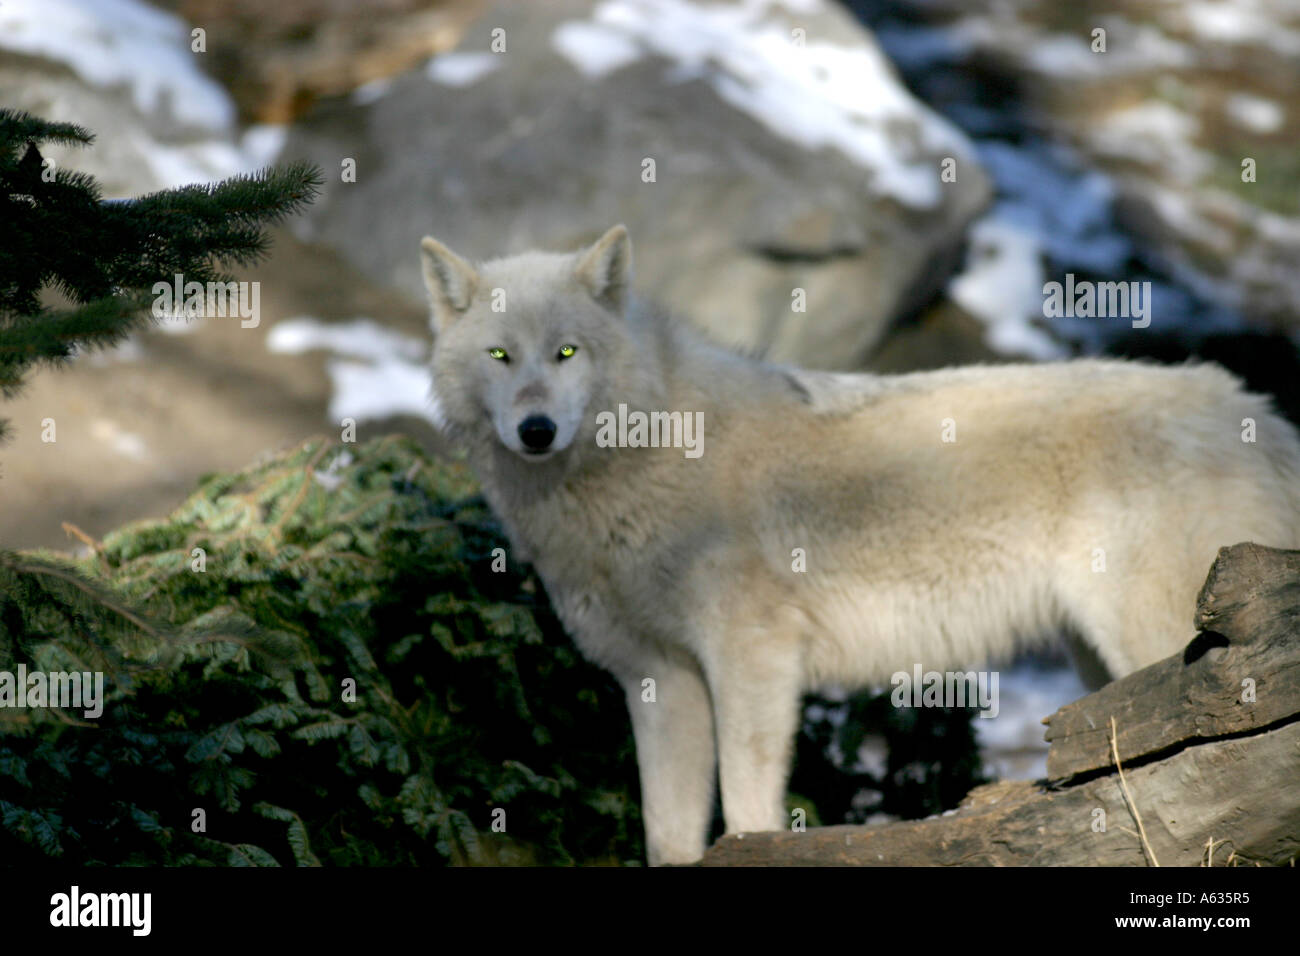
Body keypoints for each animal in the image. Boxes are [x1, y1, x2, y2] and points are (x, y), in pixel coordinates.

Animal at [420, 224, 1300, 865]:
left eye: (567, 352)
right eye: (501, 356)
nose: (537, 430)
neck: (639, 459)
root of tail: (1255, 413)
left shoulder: (754, 657)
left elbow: (747, 808)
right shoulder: (660, 680)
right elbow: (668, 835)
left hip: (1157, 647)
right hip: (1103, 667)